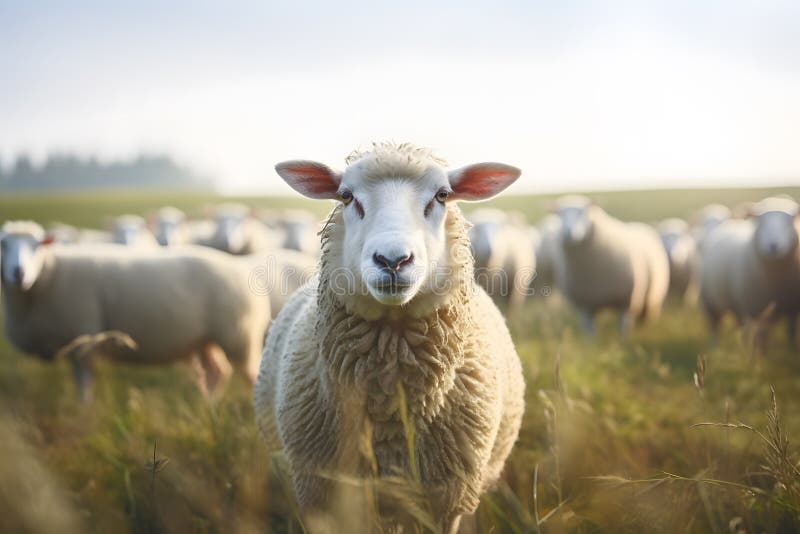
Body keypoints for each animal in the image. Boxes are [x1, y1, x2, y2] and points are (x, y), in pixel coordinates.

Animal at [0, 221, 270, 402]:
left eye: (36, 246)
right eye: (3, 244)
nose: (18, 273)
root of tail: (242, 269)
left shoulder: (83, 342)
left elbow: (84, 385)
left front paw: (84, 415)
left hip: (238, 337)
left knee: (251, 377)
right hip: (204, 340)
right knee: (217, 373)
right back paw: (209, 407)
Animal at [552, 195, 670, 337]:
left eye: (584, 212)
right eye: (559, 214)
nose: (569, 233)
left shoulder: (626, 302)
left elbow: (623, 331)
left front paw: (623, 341)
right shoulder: (585, 307)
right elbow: (590, 334)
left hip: (652, 297)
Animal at [699, 196, 800, 350]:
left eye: (790, 221)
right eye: (760, 221)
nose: (773, 246)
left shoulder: (792, 310)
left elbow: (791, 333)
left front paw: (791, 350)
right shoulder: (754, 311)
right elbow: (759, 339)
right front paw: (755, 355)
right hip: (710, 302)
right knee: (715, 328)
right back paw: (715, 350)